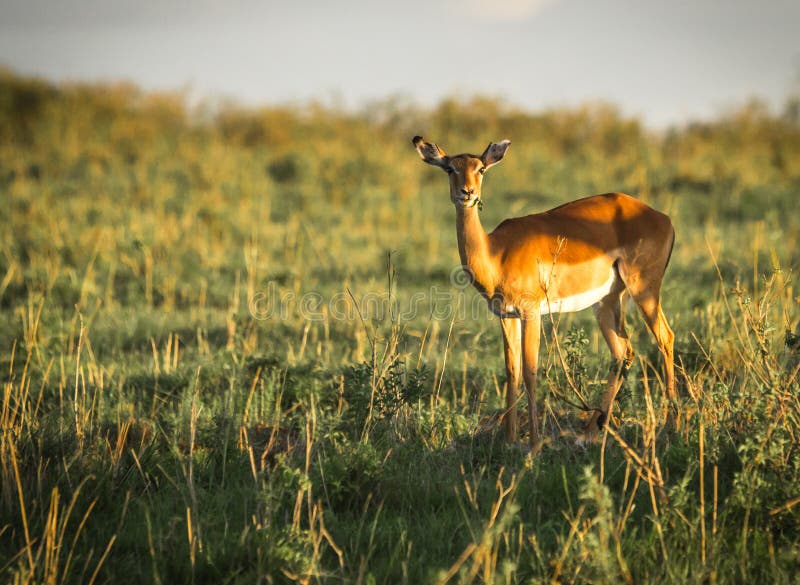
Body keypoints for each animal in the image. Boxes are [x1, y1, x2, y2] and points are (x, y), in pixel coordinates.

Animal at [412, 136, 675, 447]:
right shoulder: (507, 316)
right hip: (607, 301)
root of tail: (664, 218)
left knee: (665, 338)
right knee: (623, 351)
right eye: (450, 168)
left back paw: (672, 426)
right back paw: (588, 434)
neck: (496, 253)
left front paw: (534, 442)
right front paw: (510, 439)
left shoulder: (531, 311)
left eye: (481, 169)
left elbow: (530, 370)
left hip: (644, 289)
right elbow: (512, 372)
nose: (467, 193)